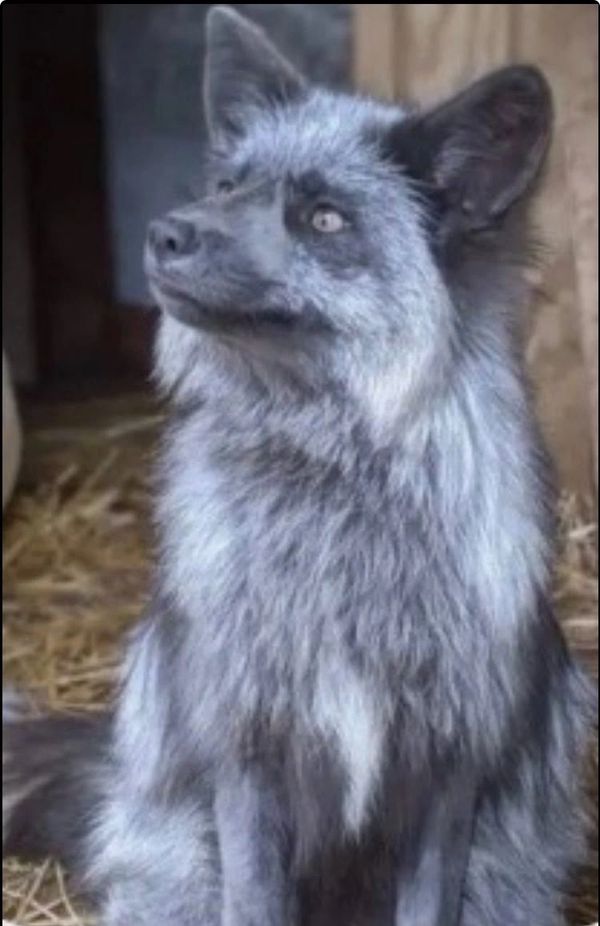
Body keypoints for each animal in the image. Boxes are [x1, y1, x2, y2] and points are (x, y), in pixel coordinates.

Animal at [3, 7, 594, 926]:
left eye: (324, 220)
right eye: (226, 187)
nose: (166, 233)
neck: (334, 494)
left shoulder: (445, 770)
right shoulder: (250, 757)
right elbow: (256, 902)